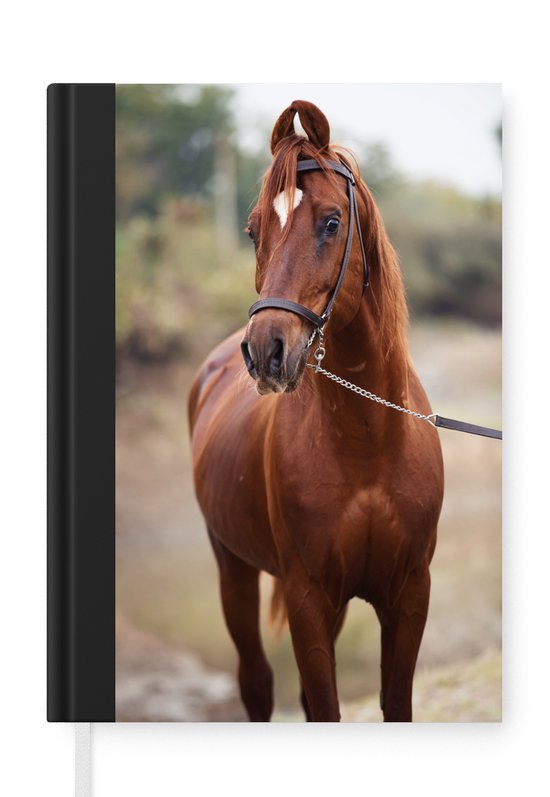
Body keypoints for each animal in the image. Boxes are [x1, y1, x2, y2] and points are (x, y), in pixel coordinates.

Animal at [188, 100, 444, 722]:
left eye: (331, 222)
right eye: (254, 229)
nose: (266, 352)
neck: (369, 446)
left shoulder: (408, 596)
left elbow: (393, 702)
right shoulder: (307, 596)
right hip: (232, 567)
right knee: (257, 682)